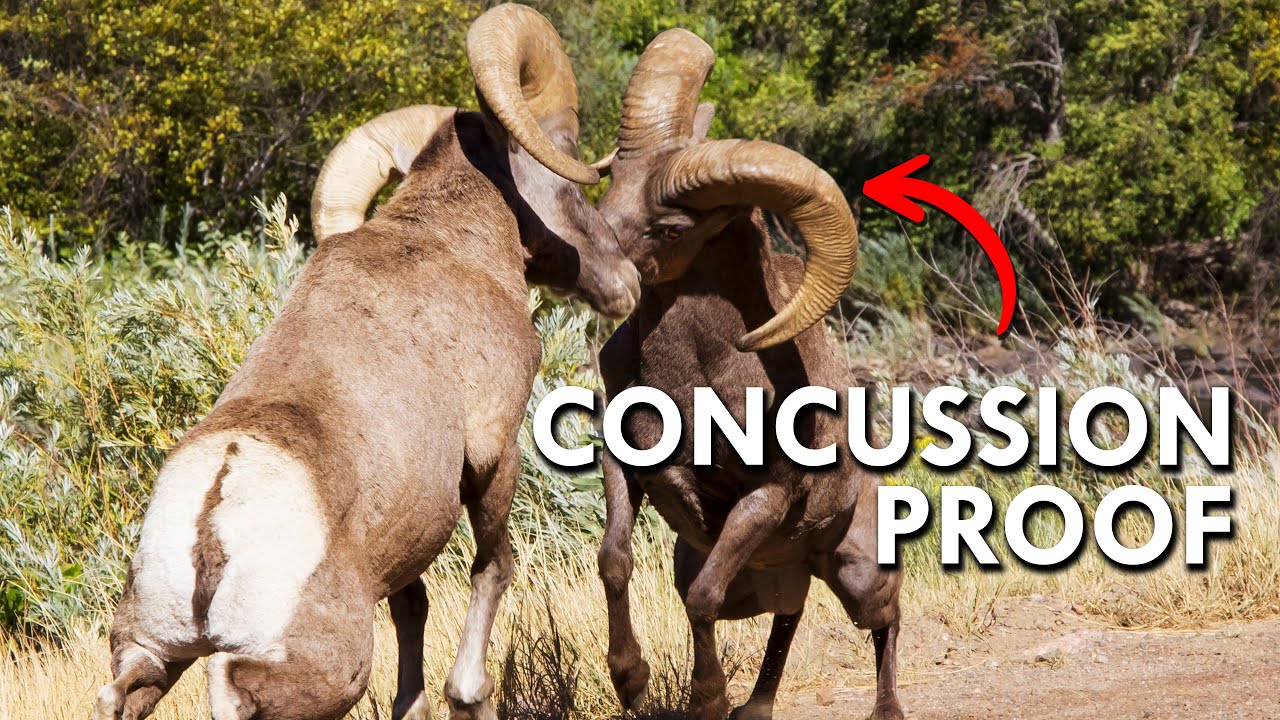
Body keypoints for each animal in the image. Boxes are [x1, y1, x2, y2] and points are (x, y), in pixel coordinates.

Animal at [93, 5, 639, 720]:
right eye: (569, 158)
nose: (626, 281)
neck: (446, 242)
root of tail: (211, 519)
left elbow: (414, 607)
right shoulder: (494, 453)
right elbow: (493, 567)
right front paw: (469, 693)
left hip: (151, 649)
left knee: (120, 690)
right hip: (326, 669)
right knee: (234, 683)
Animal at [590, 29, 904, 720]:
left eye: (670, 227)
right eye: (613, 182)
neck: (694, 383)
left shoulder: (764, 500)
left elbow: (701, 599)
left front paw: (706, 700)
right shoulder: (625, 466)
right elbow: (614, 561)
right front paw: (630, 681)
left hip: (856, 573)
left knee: (883, 619)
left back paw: (885, 710)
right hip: (754, 576)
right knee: (789, 614)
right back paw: (754, 707)